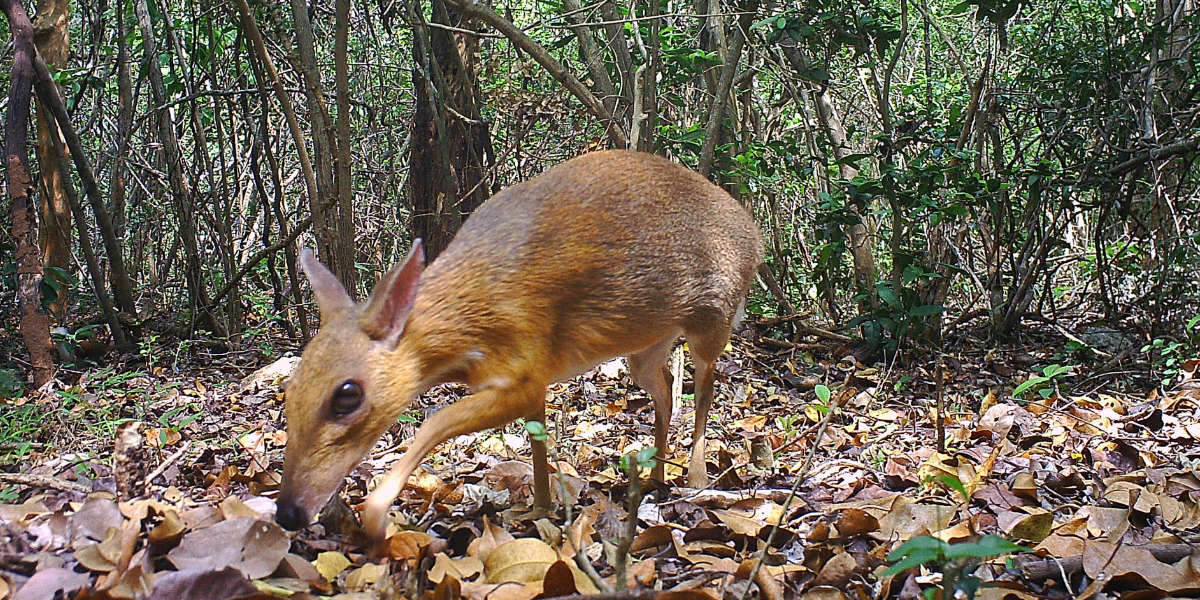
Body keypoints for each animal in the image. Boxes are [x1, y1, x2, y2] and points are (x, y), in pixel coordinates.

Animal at [274, 149, 763, 543]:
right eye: (290, 389)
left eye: (347, 395)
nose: (287, 512)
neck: (472, 314)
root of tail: (755, 235)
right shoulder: (533, 376)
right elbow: (536, 437)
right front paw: (540, 507)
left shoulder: (525, 364)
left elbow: (436, 421)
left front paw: (376, 517)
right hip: (645, 344)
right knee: (663, 388)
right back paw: (655, 476)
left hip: (714, 316)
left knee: (704, 389)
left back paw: (696, 477)